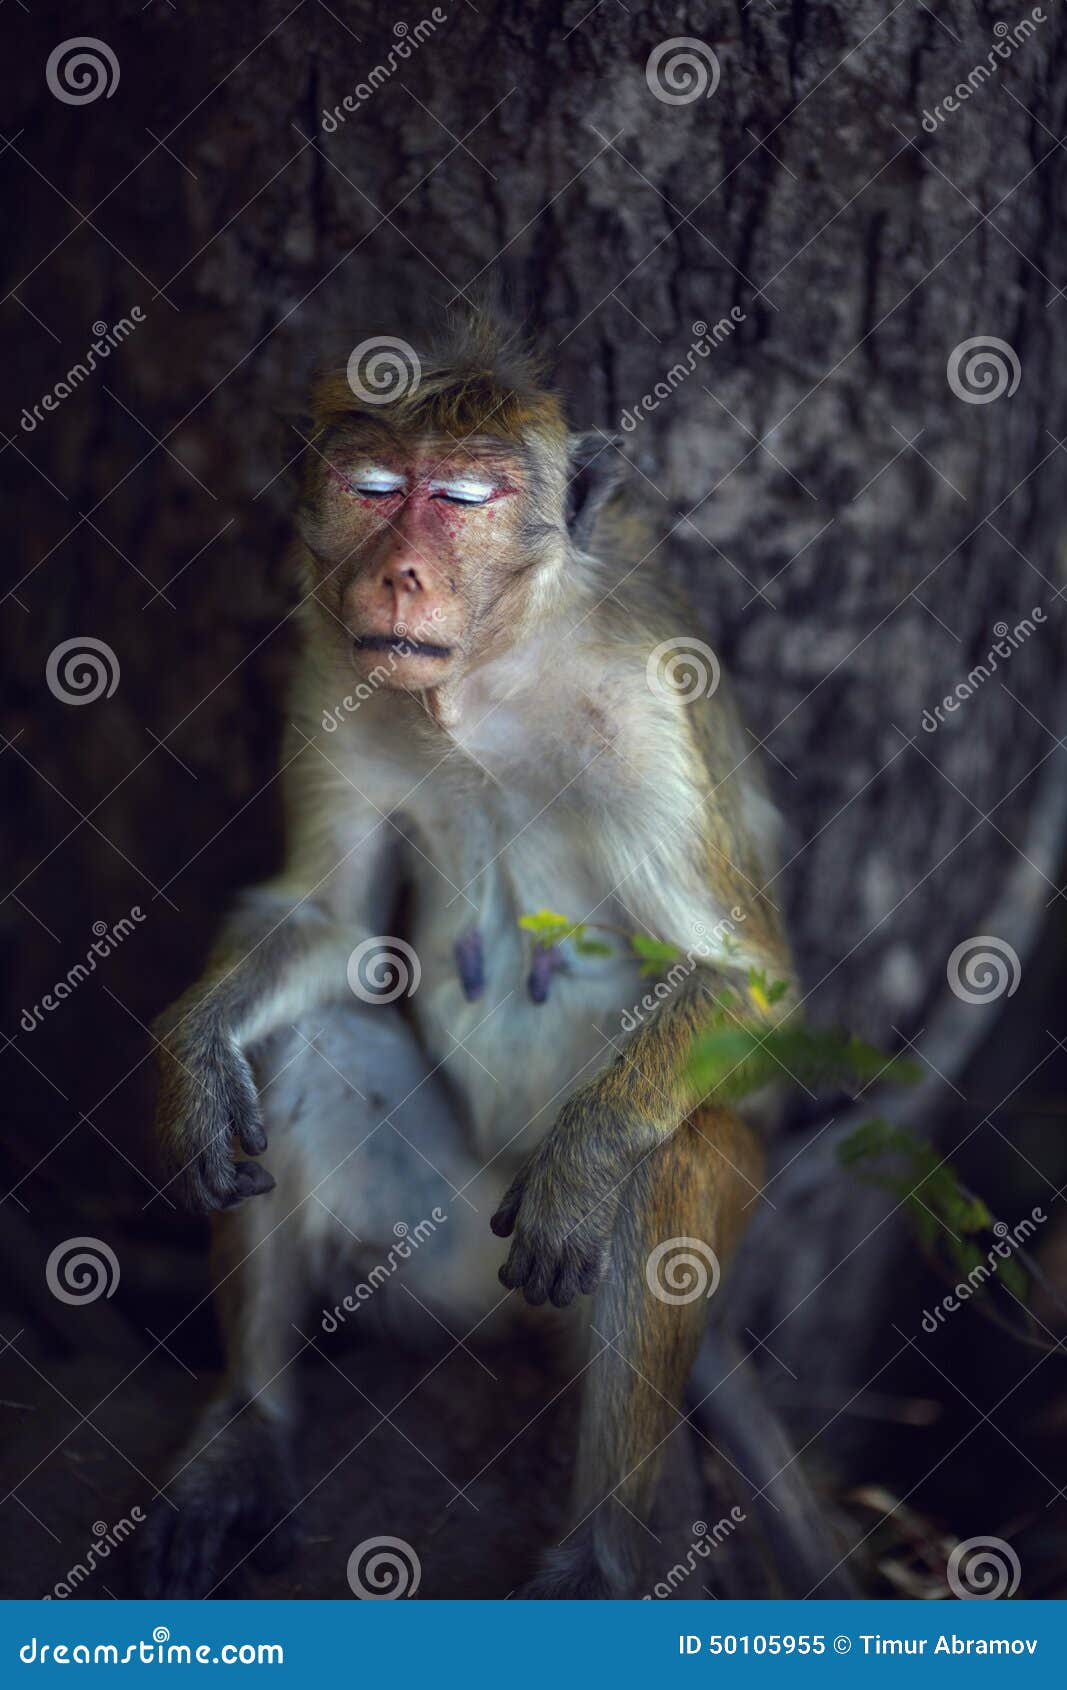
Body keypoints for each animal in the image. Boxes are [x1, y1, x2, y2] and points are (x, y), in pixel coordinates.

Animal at [141, 312, 796, 1600]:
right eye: (374, 486)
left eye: (461, 497)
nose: (401, 572)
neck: (487, 678)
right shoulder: (332, 669)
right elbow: (327, 921)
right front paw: (190, 1057)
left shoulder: (651, 702)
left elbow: (746, 980)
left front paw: (588, 1157)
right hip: (438, 1260)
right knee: (298, 1041)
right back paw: (248, 1426)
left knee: (676, 1149)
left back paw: (600, 1556)